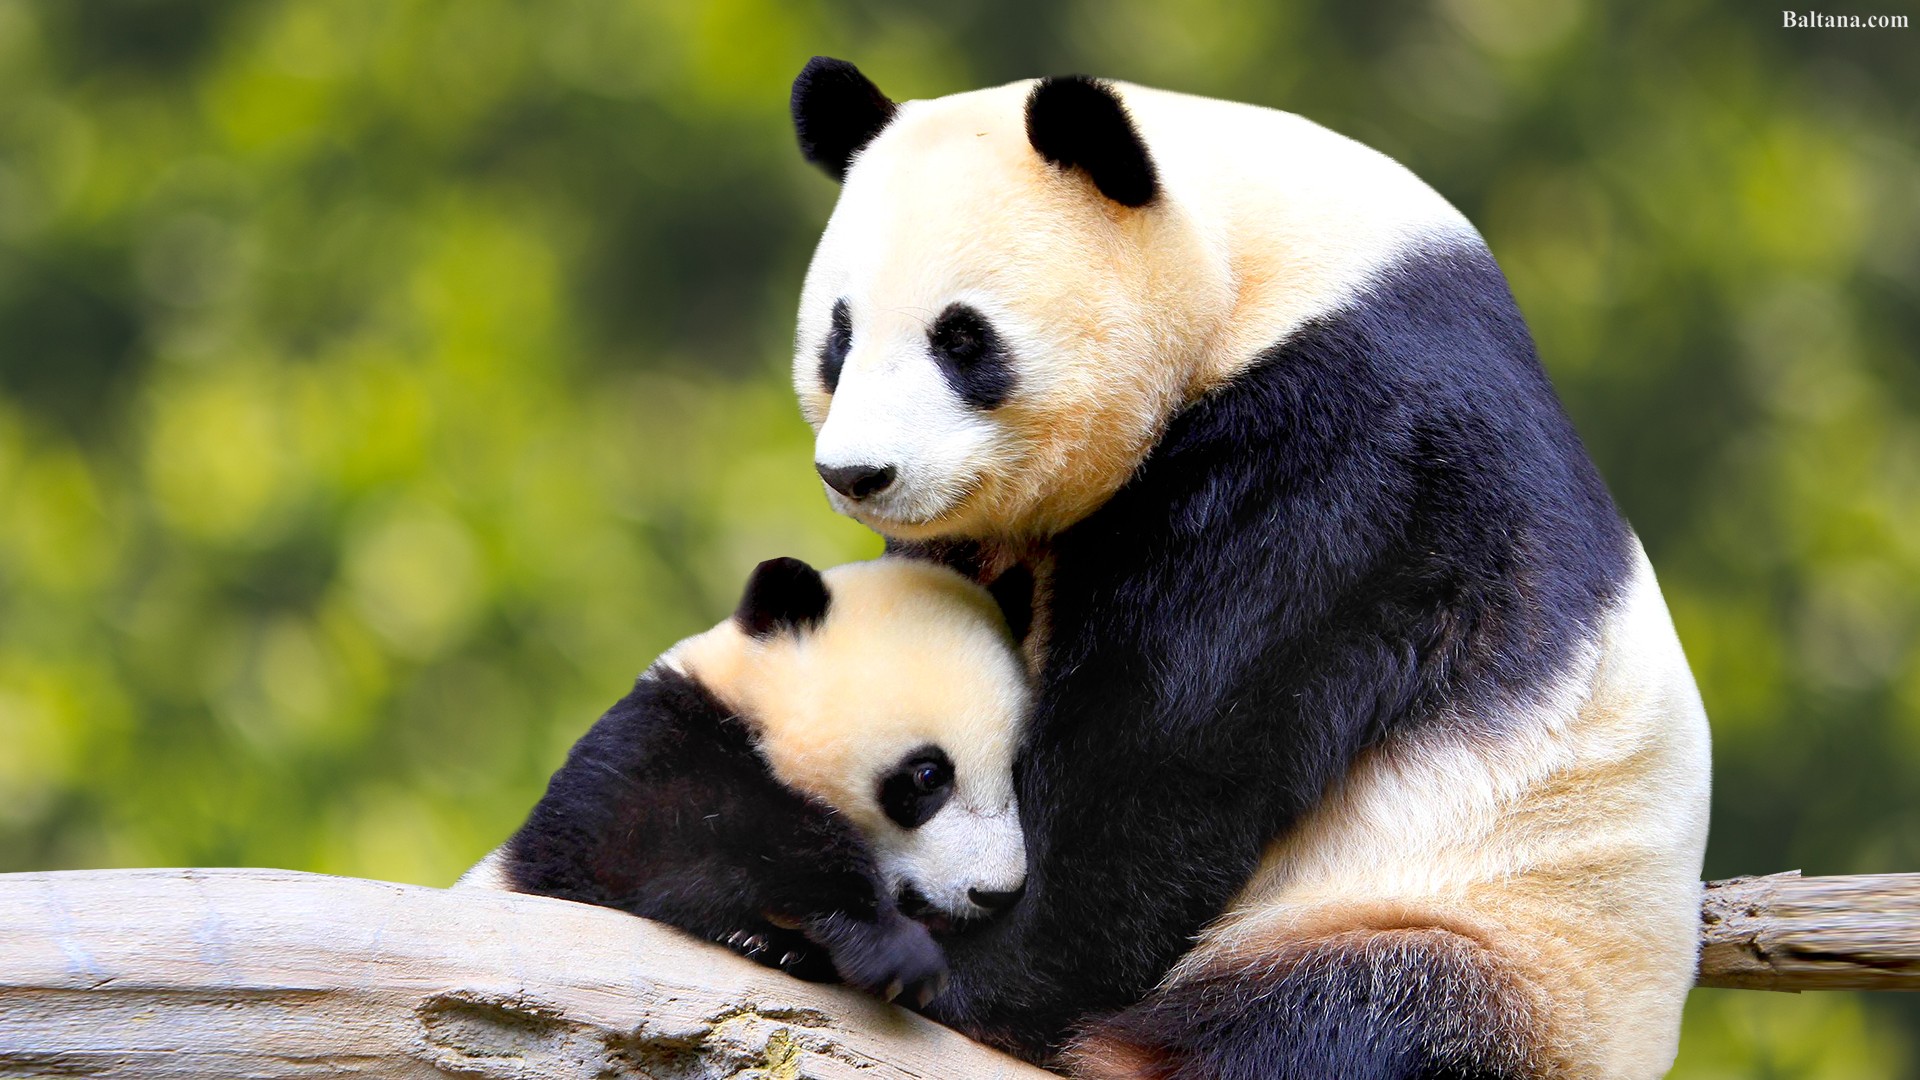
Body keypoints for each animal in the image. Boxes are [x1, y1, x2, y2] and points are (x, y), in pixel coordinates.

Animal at [460, 555, 1033, 1007]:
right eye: (928, 776)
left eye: (1015, 771)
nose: (995, 893)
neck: (751, 712)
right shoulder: (646, 749)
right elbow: (656, 844)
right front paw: (890, 946)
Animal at [786, 59, 1713, 1079]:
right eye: (839, 335)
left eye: (962, 339)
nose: (858, 474)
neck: (1255, 265)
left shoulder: (1349, 449)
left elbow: (1168, 753)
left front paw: (945, 964)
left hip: (1487, 934)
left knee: (1346, 1020)